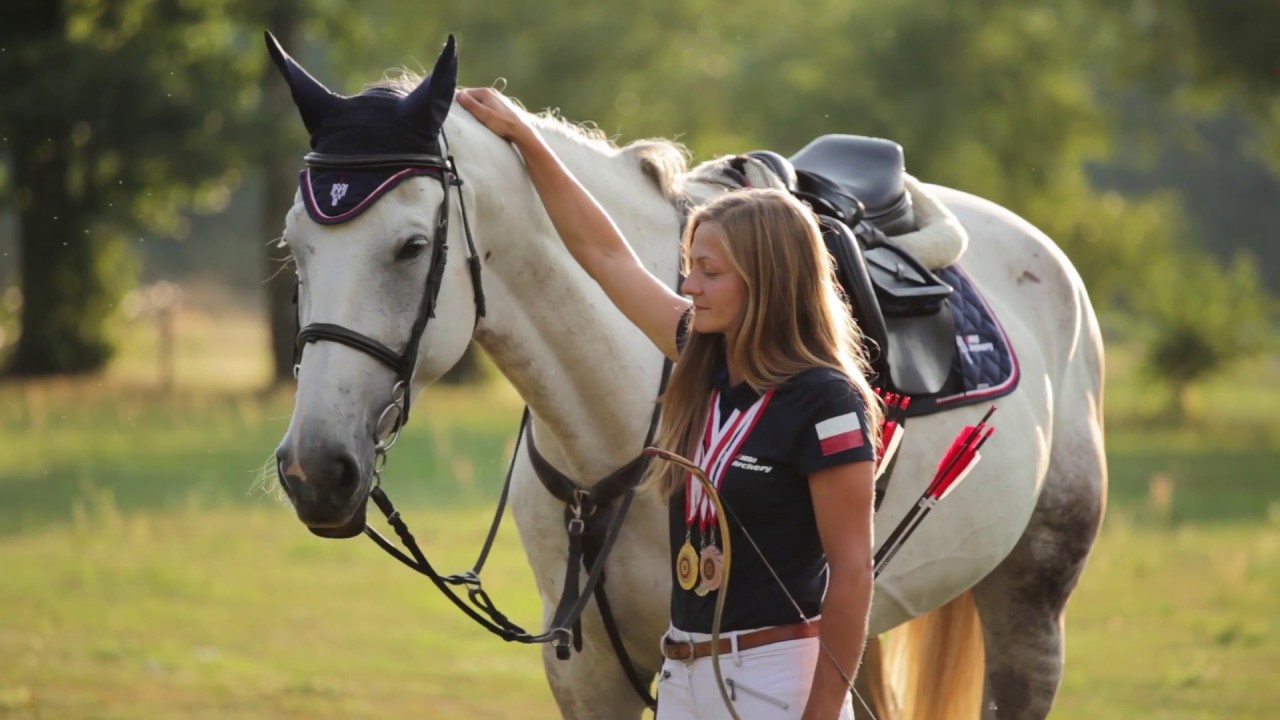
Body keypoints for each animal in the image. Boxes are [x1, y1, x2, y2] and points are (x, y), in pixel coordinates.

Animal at [268, 35, 1107, 720]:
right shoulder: (589, 678)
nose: (314, 469)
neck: (614, 426)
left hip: (1031, 602)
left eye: (411, 246)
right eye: (294, 247)